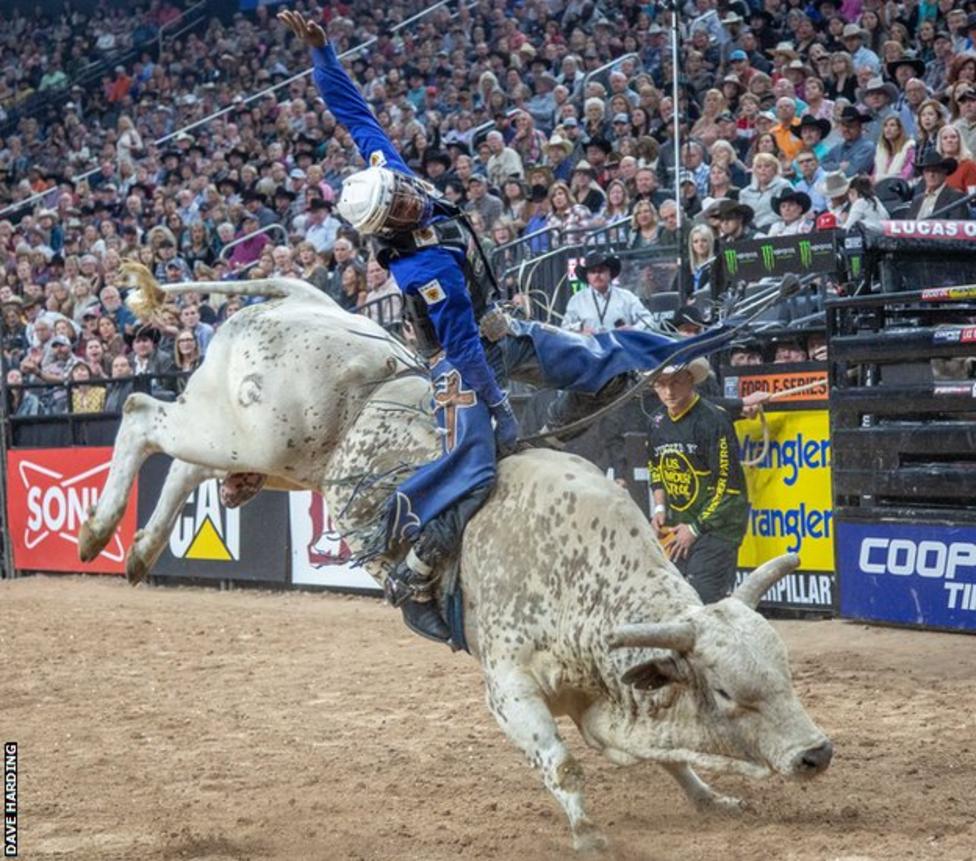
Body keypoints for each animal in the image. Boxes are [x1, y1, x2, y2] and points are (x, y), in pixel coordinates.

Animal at [80, 263, 831, 852]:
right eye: (730, 691)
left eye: (786, 674)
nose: (816, 752)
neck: (580, 577)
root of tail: (304, 299)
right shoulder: (509, 688)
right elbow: (560, 762)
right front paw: (590, 835)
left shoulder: (606, 697)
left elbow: (670, 760)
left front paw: (710, 798)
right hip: (254, 435)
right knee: (143, 413)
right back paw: (96, 531)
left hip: (270, 458)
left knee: (183, 463)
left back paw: (138, 552)